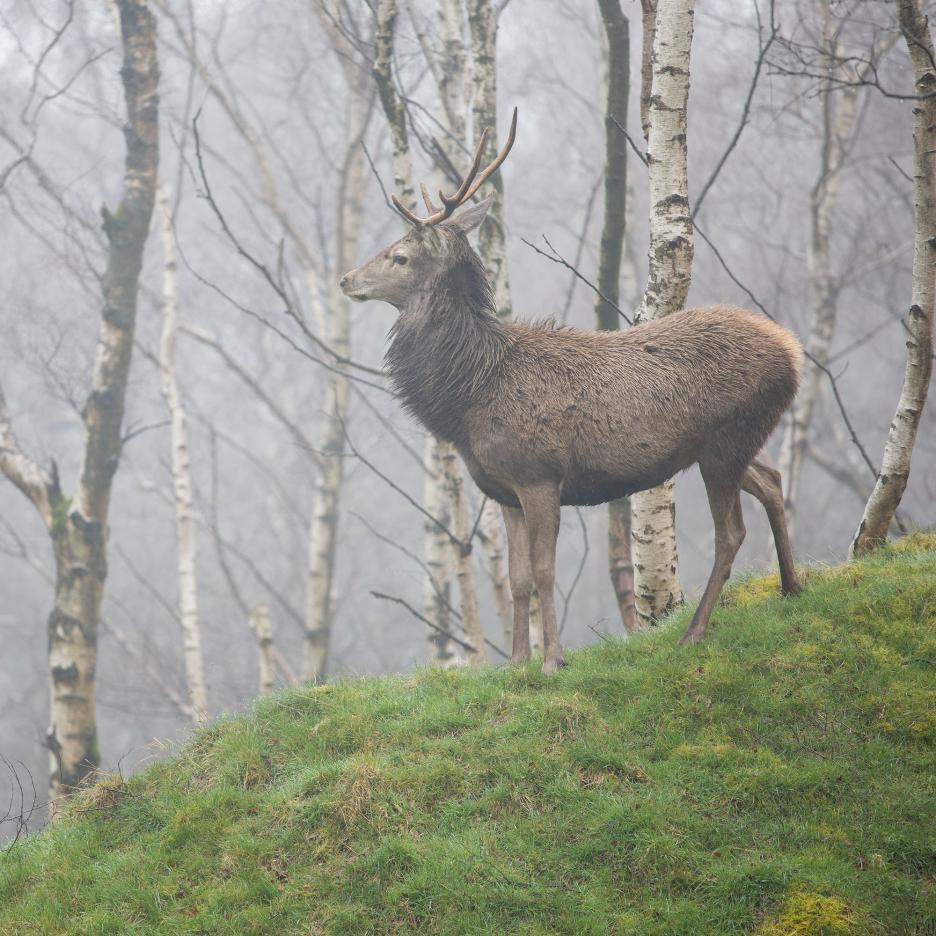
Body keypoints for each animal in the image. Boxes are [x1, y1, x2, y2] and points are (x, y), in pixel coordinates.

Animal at [340, 109, 803, 674]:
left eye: (400, 256)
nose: (346, 279)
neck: (470, 396)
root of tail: (792, 351)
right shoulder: (503, 489)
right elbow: (517, 579)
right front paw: (518, 663)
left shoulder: (540, 475)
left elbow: (543, 571)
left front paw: (553, 661)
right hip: (729, 444)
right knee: (773, 481)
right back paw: (791, 586)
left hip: (726, 440)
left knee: (731, 532)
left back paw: (693, 632)